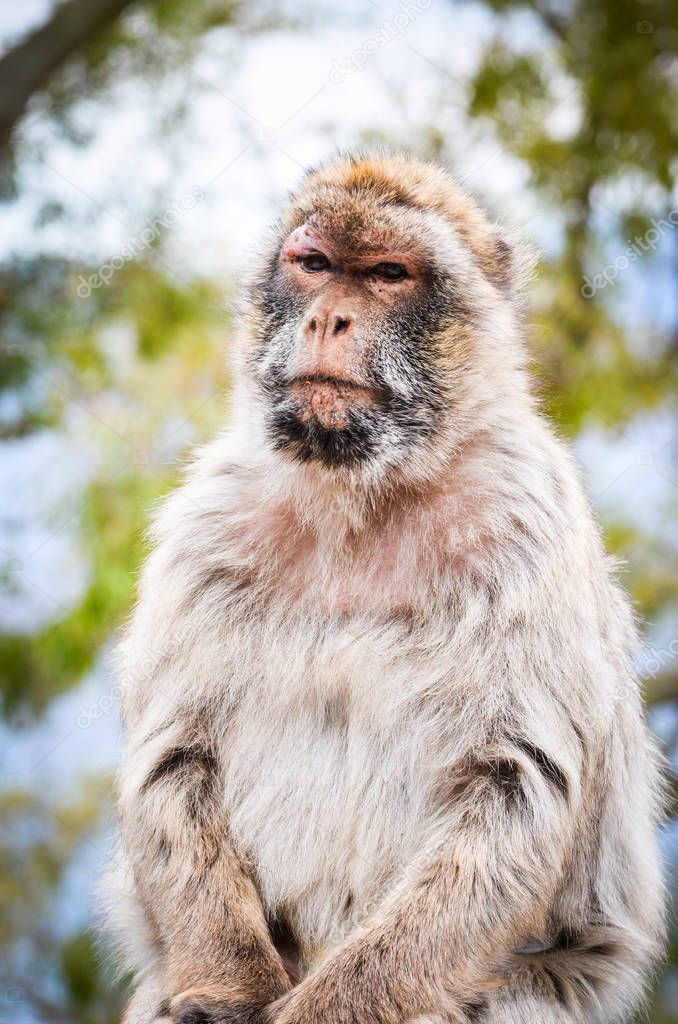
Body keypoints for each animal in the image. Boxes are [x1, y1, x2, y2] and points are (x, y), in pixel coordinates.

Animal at [104, 153, 666, 1024]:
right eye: (314, 264)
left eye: (387, 275)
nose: (328, 319)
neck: (363, 491)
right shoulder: (209, 525)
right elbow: (174, 757)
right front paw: (231, 990)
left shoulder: (525, 521)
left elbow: (516, 784)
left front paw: (329, 1009)